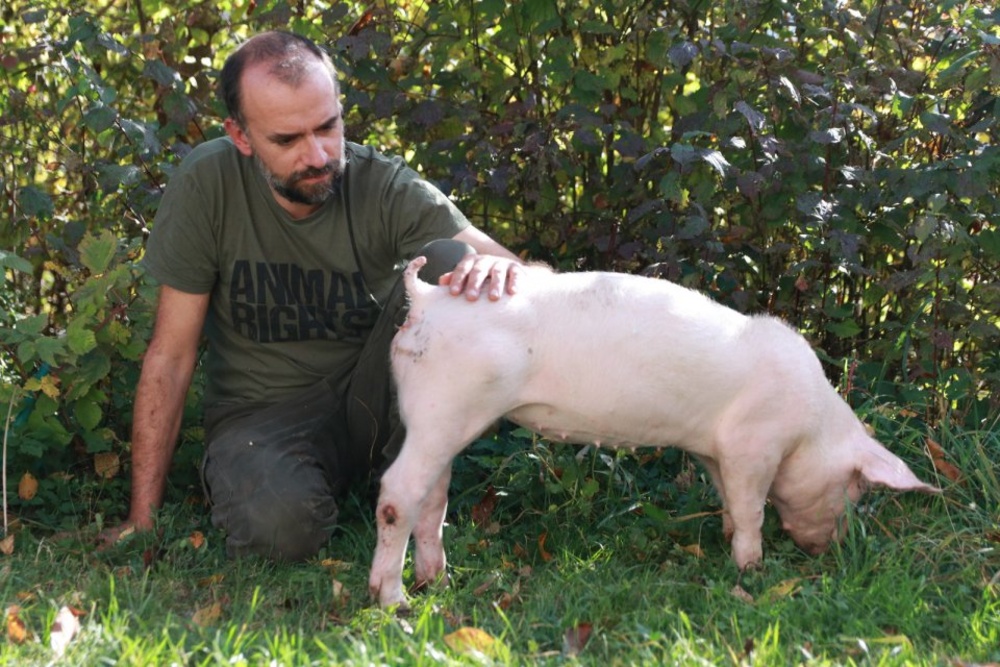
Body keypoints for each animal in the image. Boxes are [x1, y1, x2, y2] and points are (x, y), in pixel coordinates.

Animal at [368, 256, 940, 609]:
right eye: (856, 488)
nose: (831, 550)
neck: (809, 426)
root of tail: (423, 297)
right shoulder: (751, 445)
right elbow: (751, 509)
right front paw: (751, 571)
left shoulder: (715, 450)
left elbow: (727, 499)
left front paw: (726, 540)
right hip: (445, 404)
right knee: (397, 492)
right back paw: (394, 600)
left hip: (442, 418)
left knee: (434, 496)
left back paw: (438, 581)